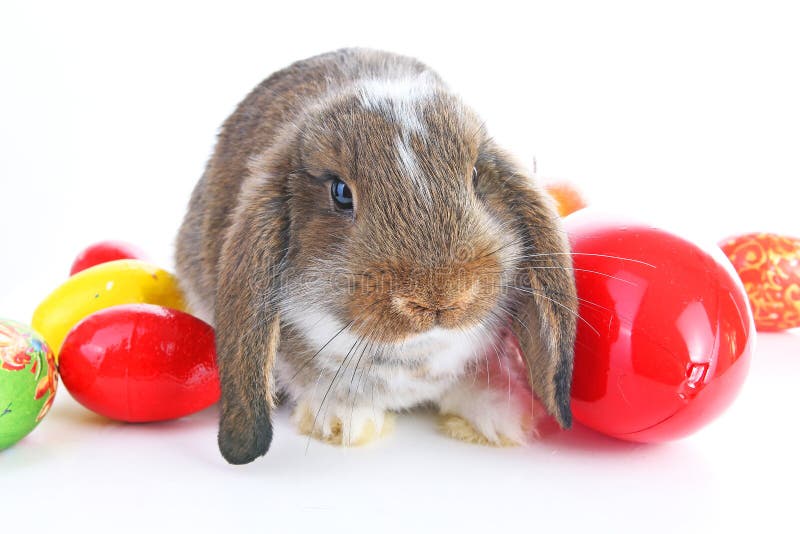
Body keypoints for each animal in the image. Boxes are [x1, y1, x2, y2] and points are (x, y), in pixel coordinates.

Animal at [175, 48, 577, 465]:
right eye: (340, 193)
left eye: (476, 175)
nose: (441, 297)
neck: (412, 356)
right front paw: (344, 421)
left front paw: (499, 415)